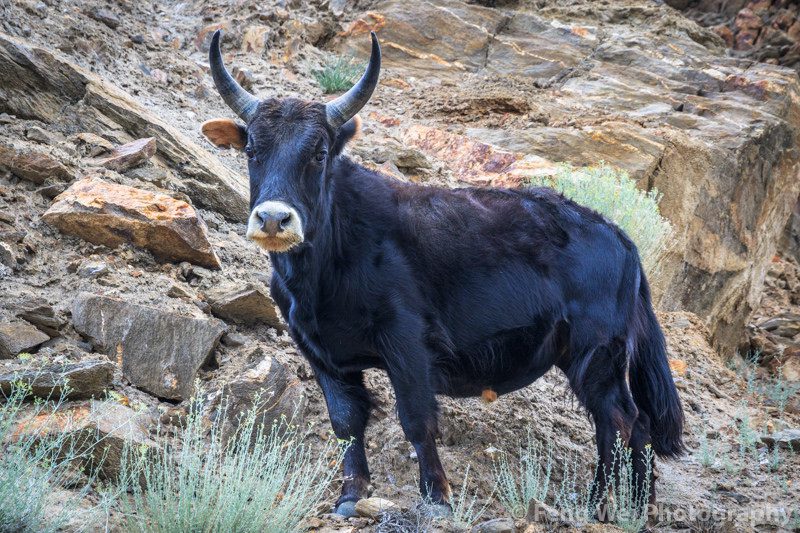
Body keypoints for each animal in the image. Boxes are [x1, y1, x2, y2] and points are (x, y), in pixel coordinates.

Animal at [201, 29, 685, 518]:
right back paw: (638, 506)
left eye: (319, 153)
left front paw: (436, 498)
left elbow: (416, 419)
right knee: (637, 425)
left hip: (598, 352)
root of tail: (622, 240)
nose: (273, 219)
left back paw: (597, 504)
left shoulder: (407, 344)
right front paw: (349, 498)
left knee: (619, 420)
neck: (326, 263)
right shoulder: (321, 354)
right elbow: (346, 423)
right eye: (251, 150)